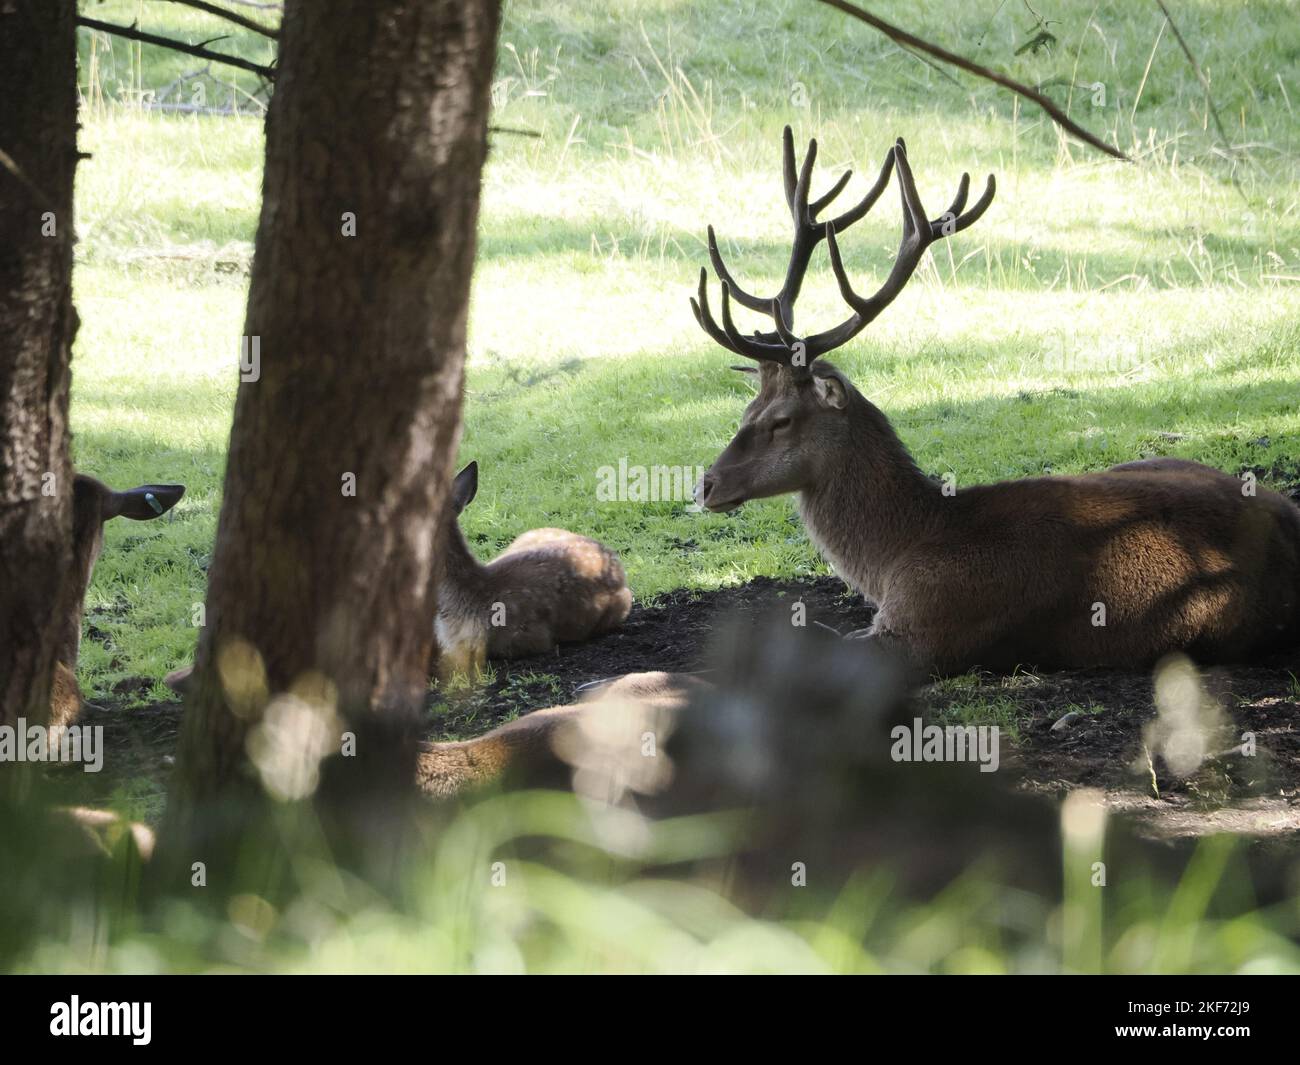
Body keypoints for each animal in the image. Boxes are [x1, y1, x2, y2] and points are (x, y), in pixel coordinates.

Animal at [690, 127, 1300, 678]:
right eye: (745, 414)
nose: (706, 486)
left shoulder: (925, 633)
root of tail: (1289, 513)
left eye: (781, 421)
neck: (901, 553)